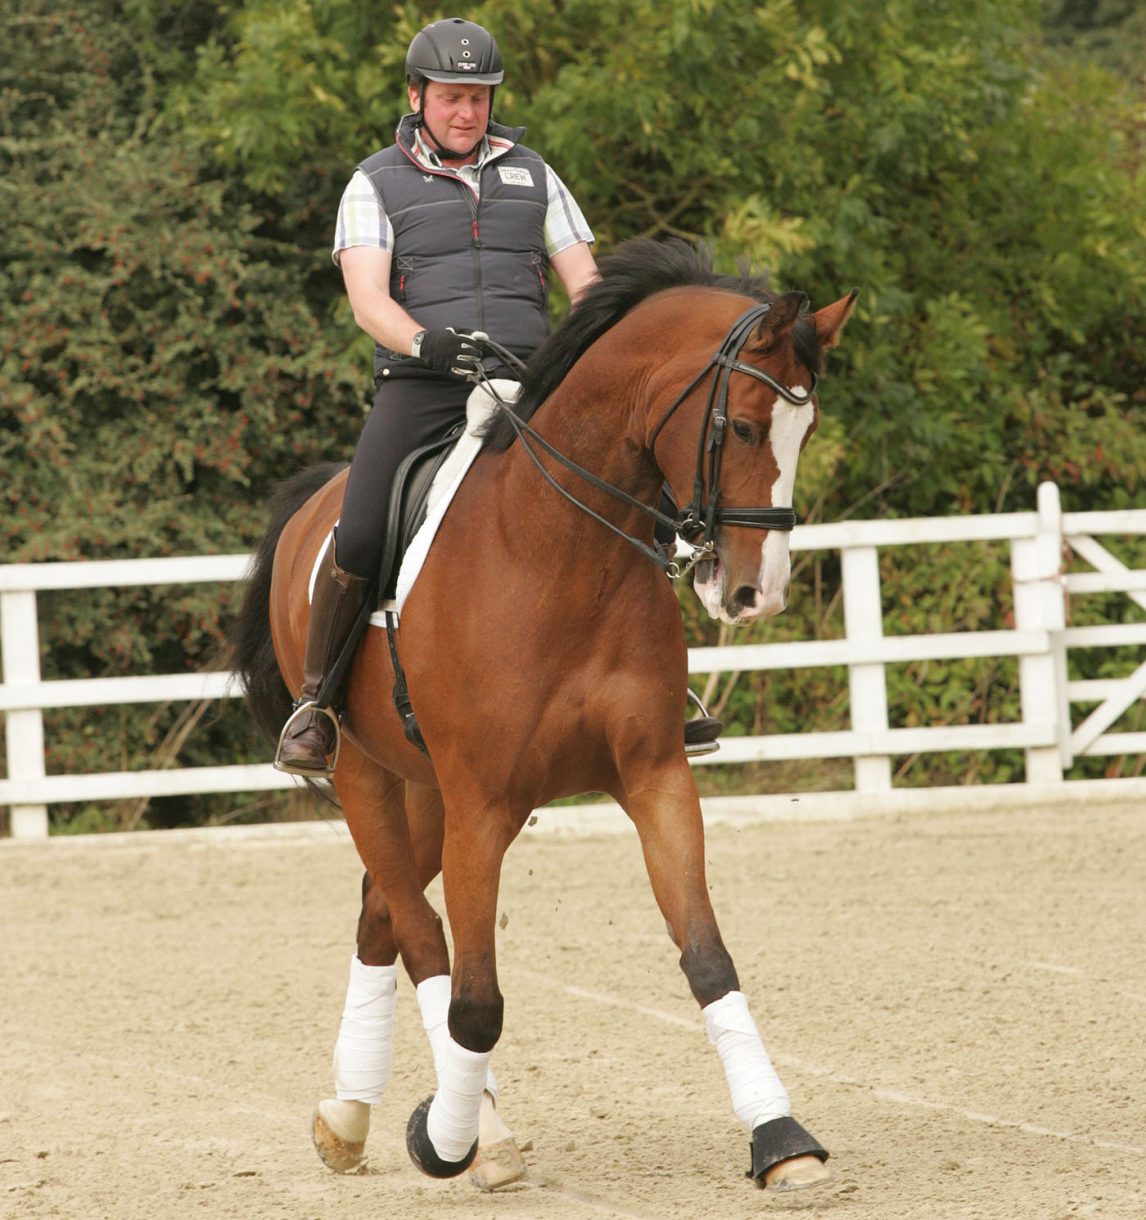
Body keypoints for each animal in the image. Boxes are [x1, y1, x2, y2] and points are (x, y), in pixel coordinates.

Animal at [230, 237, 857, 1193]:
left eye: (808, 431)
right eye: (745, 427)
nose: (757, 594)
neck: (559, 549)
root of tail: (317, 499)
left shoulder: (653, 778)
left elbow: (709, 960)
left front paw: (780, 1139)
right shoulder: (484, 805)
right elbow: (476, 1002)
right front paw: (446, 1141)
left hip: (427, 792)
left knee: (382, 913)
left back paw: (347, 1115)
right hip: (368, 775)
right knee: (419, 934)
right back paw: (466, 1130)